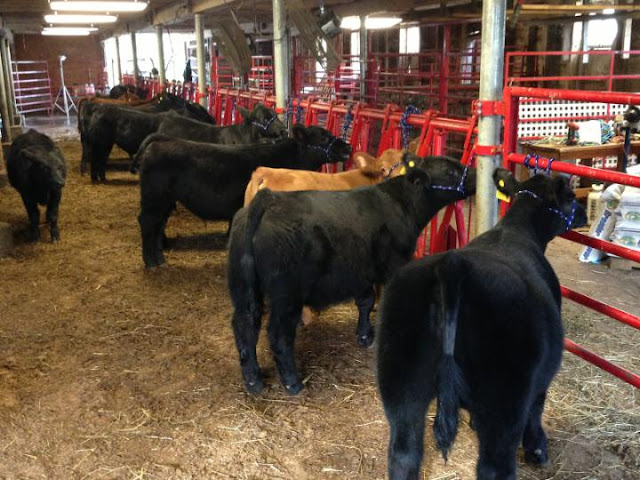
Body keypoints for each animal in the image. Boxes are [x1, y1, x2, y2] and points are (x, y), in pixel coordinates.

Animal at [137, 124, 352, 268]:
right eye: (323, 138)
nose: (348, 147)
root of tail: (161, 141)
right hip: (154, 197)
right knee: (147, 222)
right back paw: (151, 263)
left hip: (165, 201)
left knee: (158, 225)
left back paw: (160, 259)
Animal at [227, 154, 476, 395]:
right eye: (451, 171)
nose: (475, 175)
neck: (400, 203)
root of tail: (268, 199)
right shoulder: (393, 264)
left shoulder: (360, 269)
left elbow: (366, 301)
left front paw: (364, 336)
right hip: (286, 294)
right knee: (278, 335)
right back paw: (292, 383)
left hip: (244, 287)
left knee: (244, 326)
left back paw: (253, 380)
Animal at [376, 170, 587, 480]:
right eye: (571, 197)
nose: (582, 214)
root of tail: (452, 264)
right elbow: (537, 405)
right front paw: (537, 449)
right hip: (505, 398)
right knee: (494, 465)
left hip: (401, 384)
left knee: (403, 454)